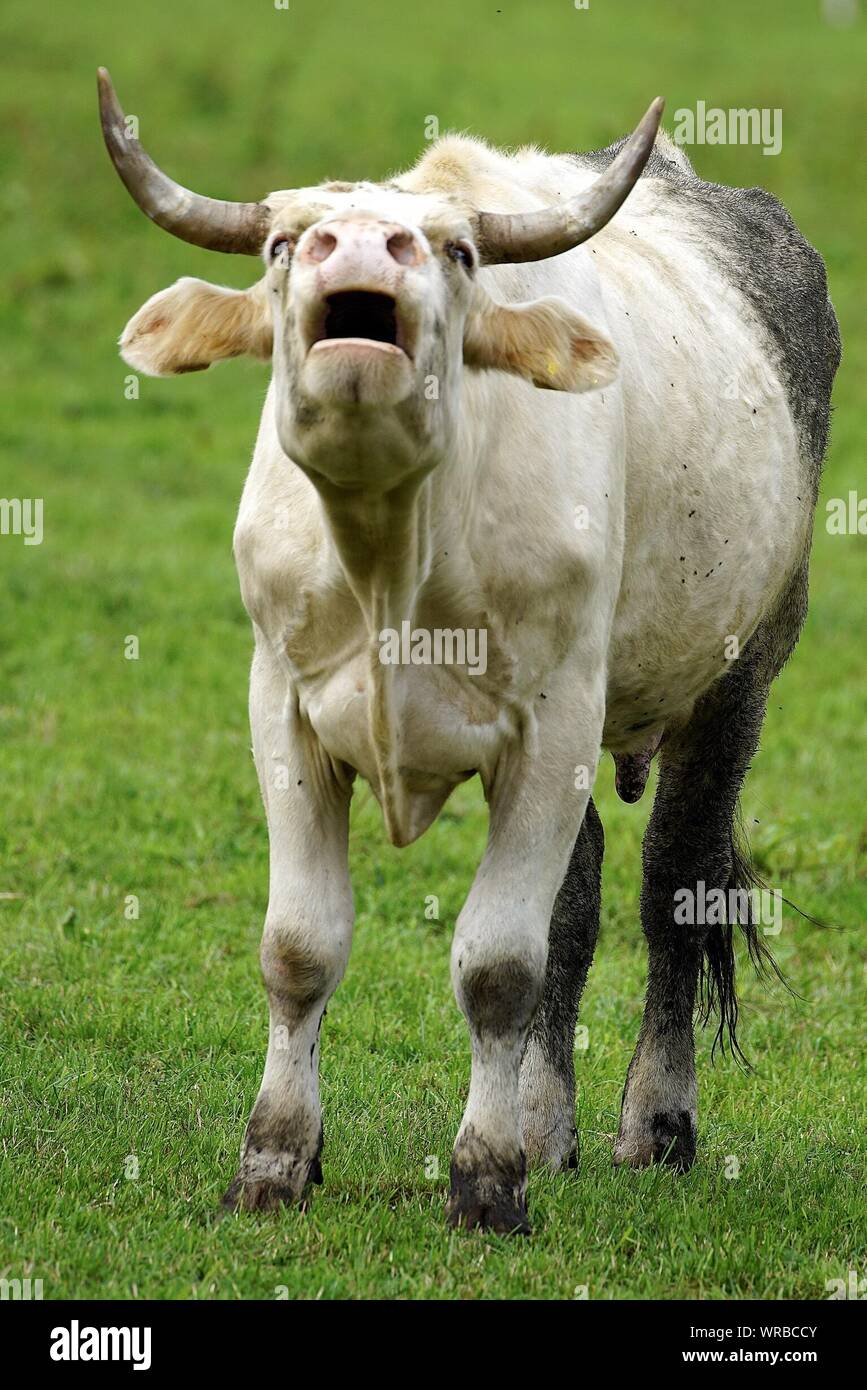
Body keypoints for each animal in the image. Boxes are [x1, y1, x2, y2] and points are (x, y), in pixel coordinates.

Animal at [99, 68, 840, 1234]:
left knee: (672, 887)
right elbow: (300, 947)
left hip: (739, 678)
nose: (363, 244)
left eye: (456, 252)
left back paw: (655, 1125)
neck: (392, 550)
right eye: (283, 243)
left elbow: (498, 966)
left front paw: (486, 1182)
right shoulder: (283, 711)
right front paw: (276, 1159)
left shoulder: (555, 724)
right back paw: (546, 1122)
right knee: (580, 898)